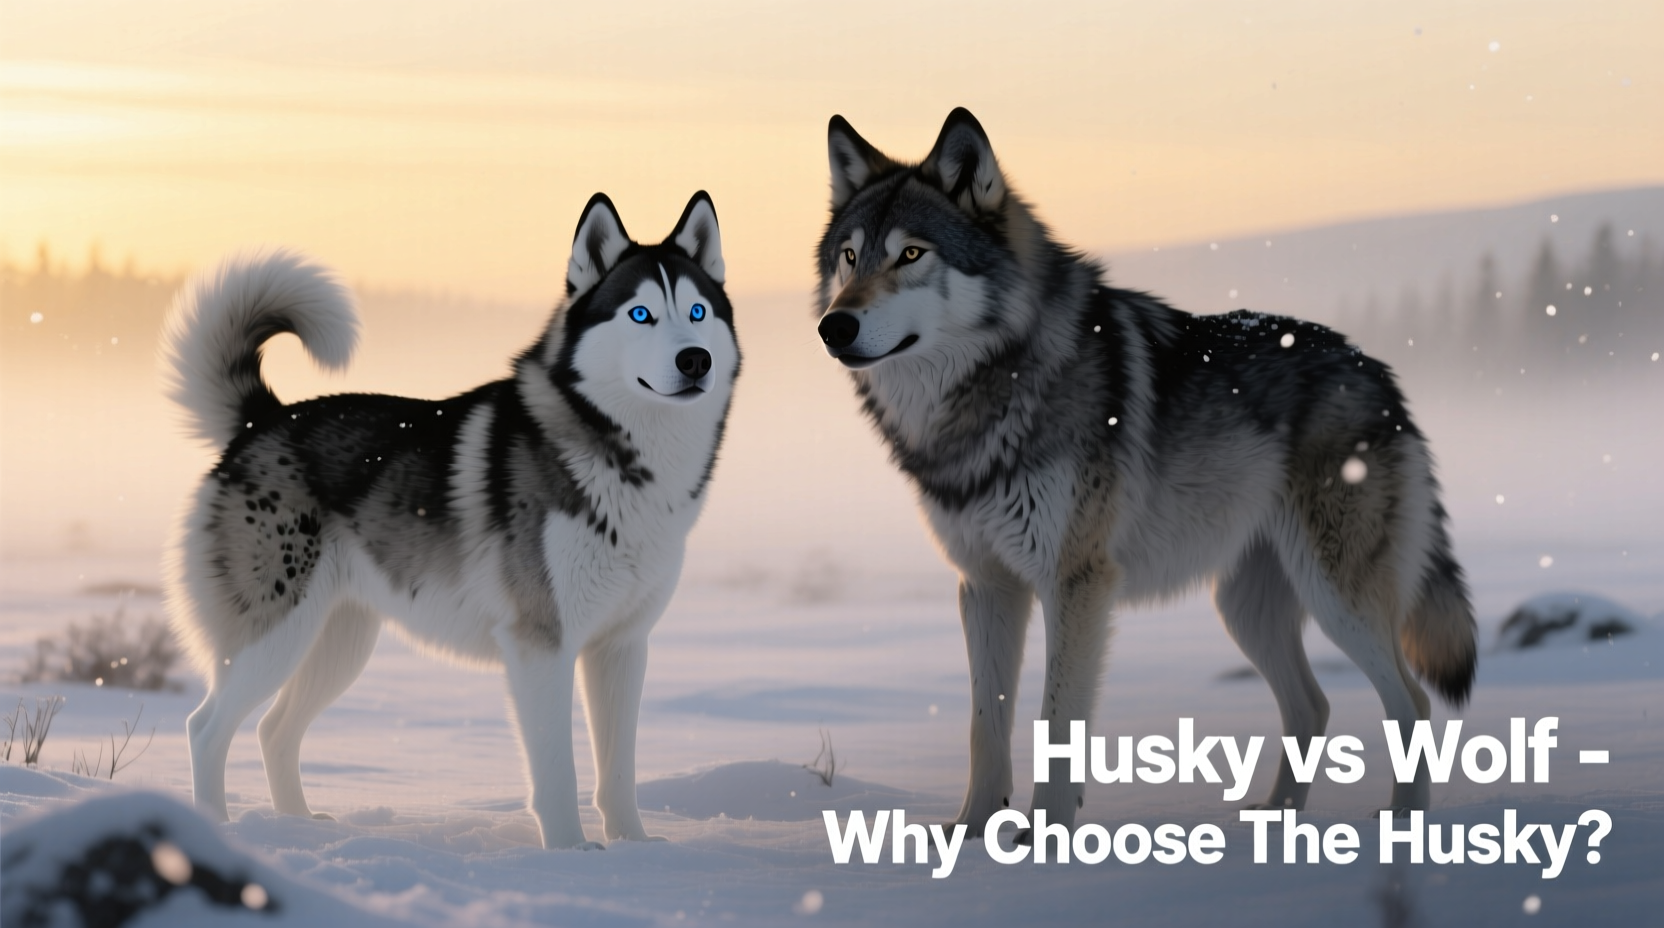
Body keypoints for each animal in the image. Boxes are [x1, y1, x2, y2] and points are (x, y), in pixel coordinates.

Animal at [163, 192, 739, 849]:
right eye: (640, 314)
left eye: (697, 311)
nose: (694, 359)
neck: (628, 462)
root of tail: (263, 418)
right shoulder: (541, 645)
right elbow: (557, 768)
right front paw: (570, 851)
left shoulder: (622, 646)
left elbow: (618, 770)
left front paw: (634, 849)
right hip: (273, 637)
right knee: (206, 728)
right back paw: (214, 830)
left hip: (337, 644)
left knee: (273, 730)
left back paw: (298, 825)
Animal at [814, 109, 1475, 832]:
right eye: (850, 256)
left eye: (911, 254)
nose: (834, 326)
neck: (992, 390)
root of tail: (1378, 371)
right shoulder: (986, 584)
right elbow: (985, 725)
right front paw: (971, 834)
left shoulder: (1075, 581)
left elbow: (1056, 721)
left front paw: (1044, 841)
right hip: (1245, 607)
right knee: (1312, 704)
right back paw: (1275, 821)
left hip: (1337, 597)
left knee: (1412, 702)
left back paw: (1403, 827)